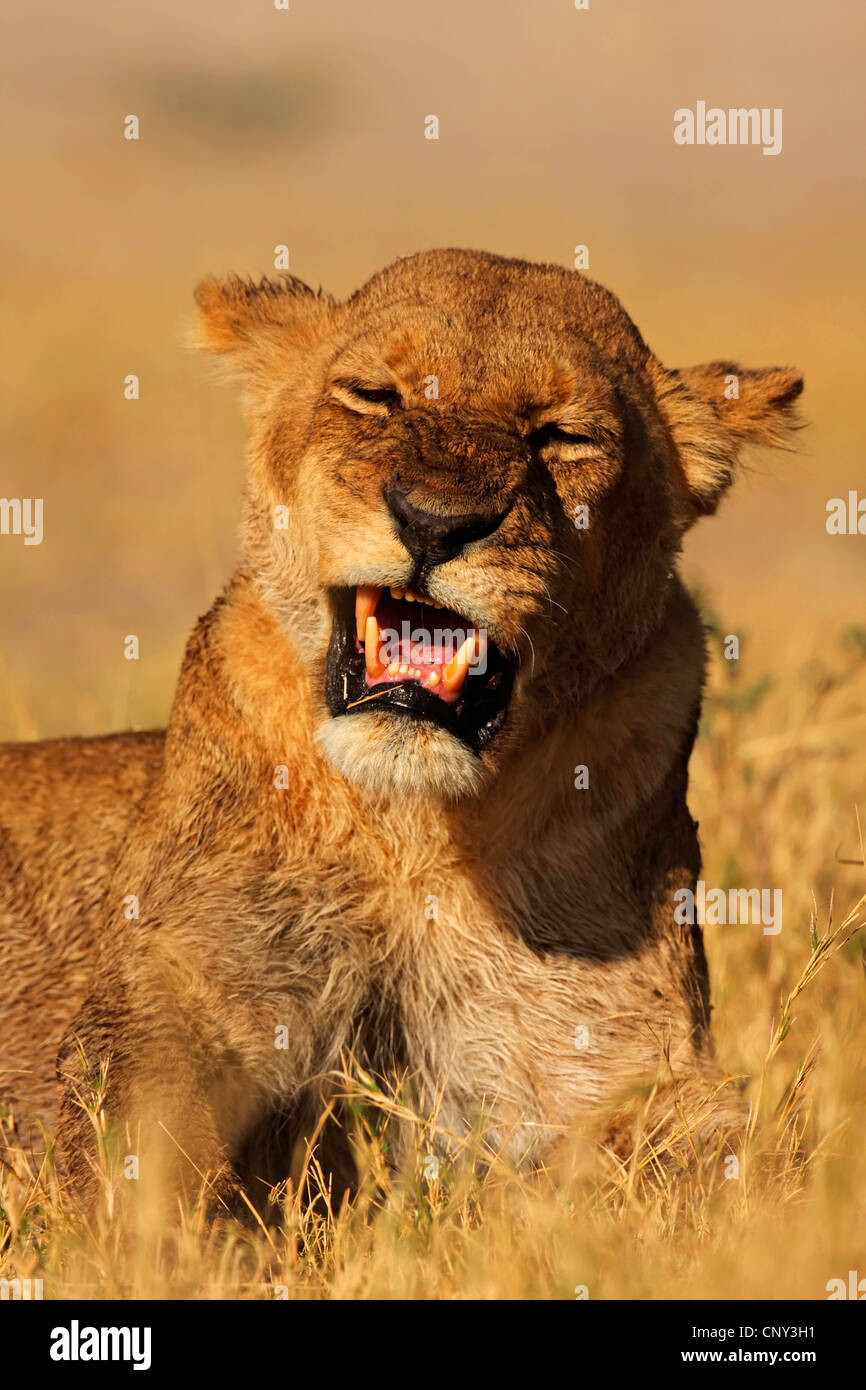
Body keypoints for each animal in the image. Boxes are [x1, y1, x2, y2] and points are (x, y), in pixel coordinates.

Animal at [0, 249, 802, 1214]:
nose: (435, 520)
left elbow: (728, 1177)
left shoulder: (628, 1059)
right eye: (374, 395)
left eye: (562, 437)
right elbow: (136, 1163)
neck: (410, 827)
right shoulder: (175, 1000)